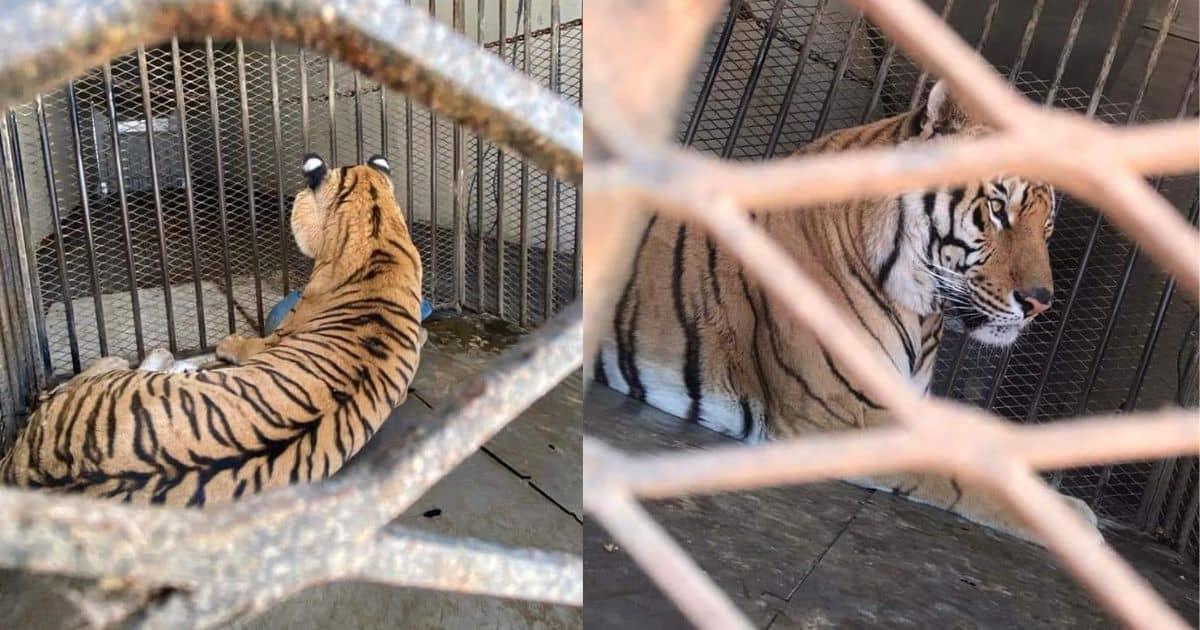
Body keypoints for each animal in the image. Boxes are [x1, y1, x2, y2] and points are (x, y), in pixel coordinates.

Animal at [0, 153, 425, 507]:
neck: (377, 231)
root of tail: (26, 472)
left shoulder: (273, 339)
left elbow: (245, 344)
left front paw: (227, 342)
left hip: (110, 386)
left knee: (111, 368)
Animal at [594, 79, 1099, 543]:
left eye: (1046, 226)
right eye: (997, 210)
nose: (1041, 301)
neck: (923, 314)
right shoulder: (847, 417)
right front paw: (1074, 517)